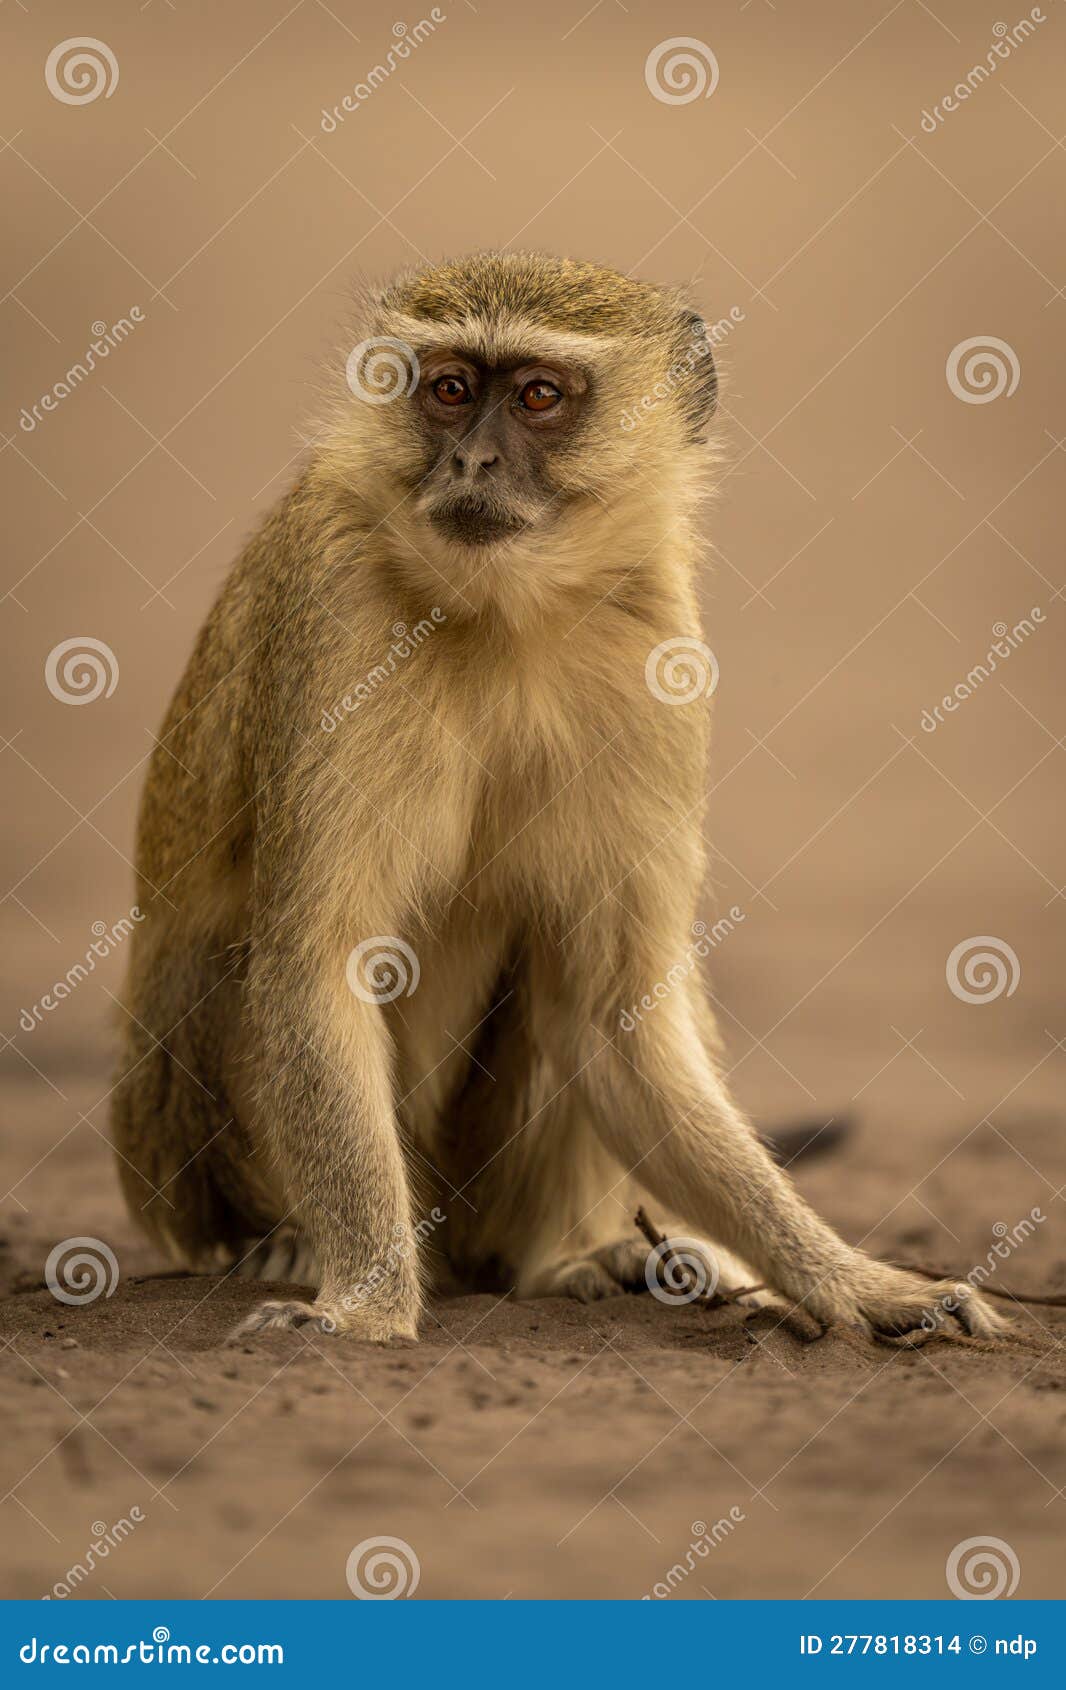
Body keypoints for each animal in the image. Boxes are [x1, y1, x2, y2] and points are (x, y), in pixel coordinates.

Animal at [110, 251, 1003, 1344]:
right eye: (451, 389)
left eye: (538, 396)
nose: (471, 466)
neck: (505, 613)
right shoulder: (334, 598)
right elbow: (316, 961)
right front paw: (365, 1303)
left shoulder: (654, 637)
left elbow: (610, 1009)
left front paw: (856, 1285)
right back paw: (286, 1241)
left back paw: (568, 1257)